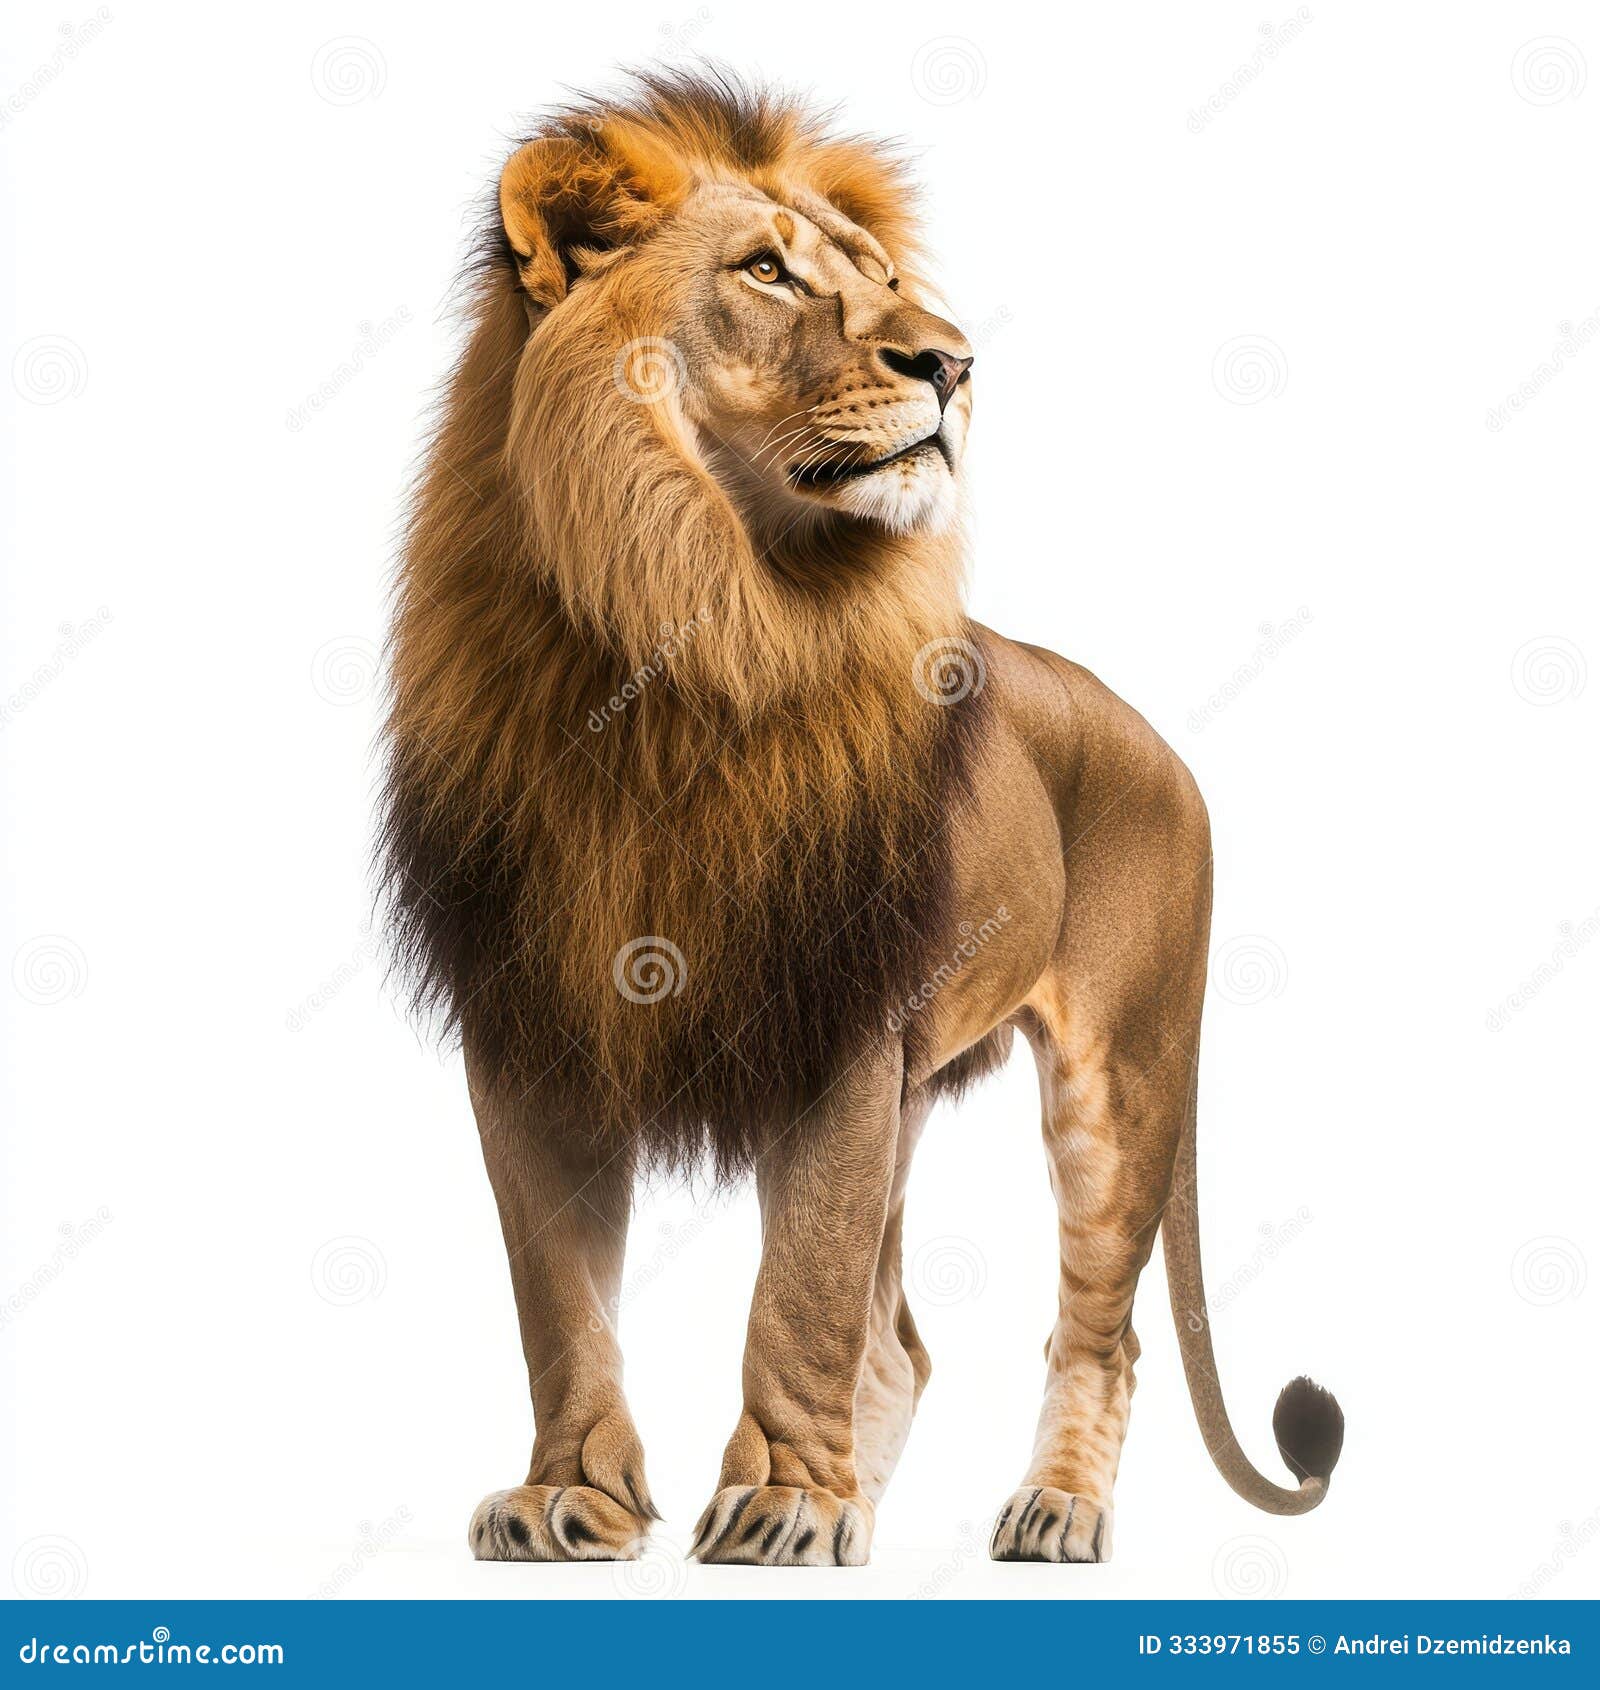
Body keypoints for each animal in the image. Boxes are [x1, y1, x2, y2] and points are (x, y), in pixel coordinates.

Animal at [380, 69, 1343, 1567]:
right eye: (767, 272)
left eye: (891, 284)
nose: (953, 362)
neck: (699, 621)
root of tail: (1156, 734)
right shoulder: (531, 1016)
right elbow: (560, 1302)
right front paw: (571, 1497)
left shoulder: (839, 1022)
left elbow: (804, 1291)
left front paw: (783, 1498)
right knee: (903, 1344)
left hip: (1119, 1076)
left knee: (1096, 1333)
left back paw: (1051, 1511)